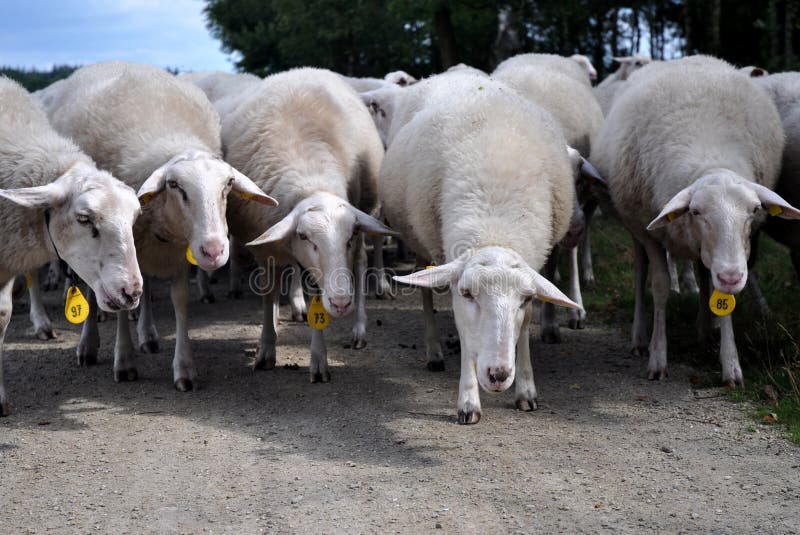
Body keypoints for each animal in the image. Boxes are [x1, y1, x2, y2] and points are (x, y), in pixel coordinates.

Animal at [38, 61, 275, 390]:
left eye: (228, 184)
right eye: (175, 185)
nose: (214, 251)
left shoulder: (176, 253)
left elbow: (179, 300)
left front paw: (184, 367)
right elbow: (120, 303)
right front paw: (124, 361)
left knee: (145, 287)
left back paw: (148, 334)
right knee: (88, 286)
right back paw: (88, 344)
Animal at [219, 67, 396, 383]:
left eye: (349, 237)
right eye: (304, 236)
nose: (341, 302)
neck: (311, 178)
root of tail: (304, 70)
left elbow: (317, 299)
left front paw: (319, 359)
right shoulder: (265, 247)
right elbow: (268, 293)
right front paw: (267, 348)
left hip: (368, 201)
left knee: (362, 261)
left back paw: (360, 327)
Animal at [381, 73, 581, 424]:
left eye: (525, 299)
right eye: (467, 294)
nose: (498, 374)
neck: (494, 225)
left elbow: (524, 329)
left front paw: (526, 390)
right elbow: (464, 333)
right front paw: (468, 400)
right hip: (421, 241)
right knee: (425, 296)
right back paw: (434, 352)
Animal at [590, 55, 800, 386]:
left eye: (754, 210)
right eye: (697, 211)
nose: (731, 277)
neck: (711, 160)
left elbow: (718, 292)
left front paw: (730, 364)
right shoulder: (651, 234)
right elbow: (660, 287)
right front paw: (658, 357)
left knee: (703, 275)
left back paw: (704, 328)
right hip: (637, 228)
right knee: (640, 273)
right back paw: (640, 337)